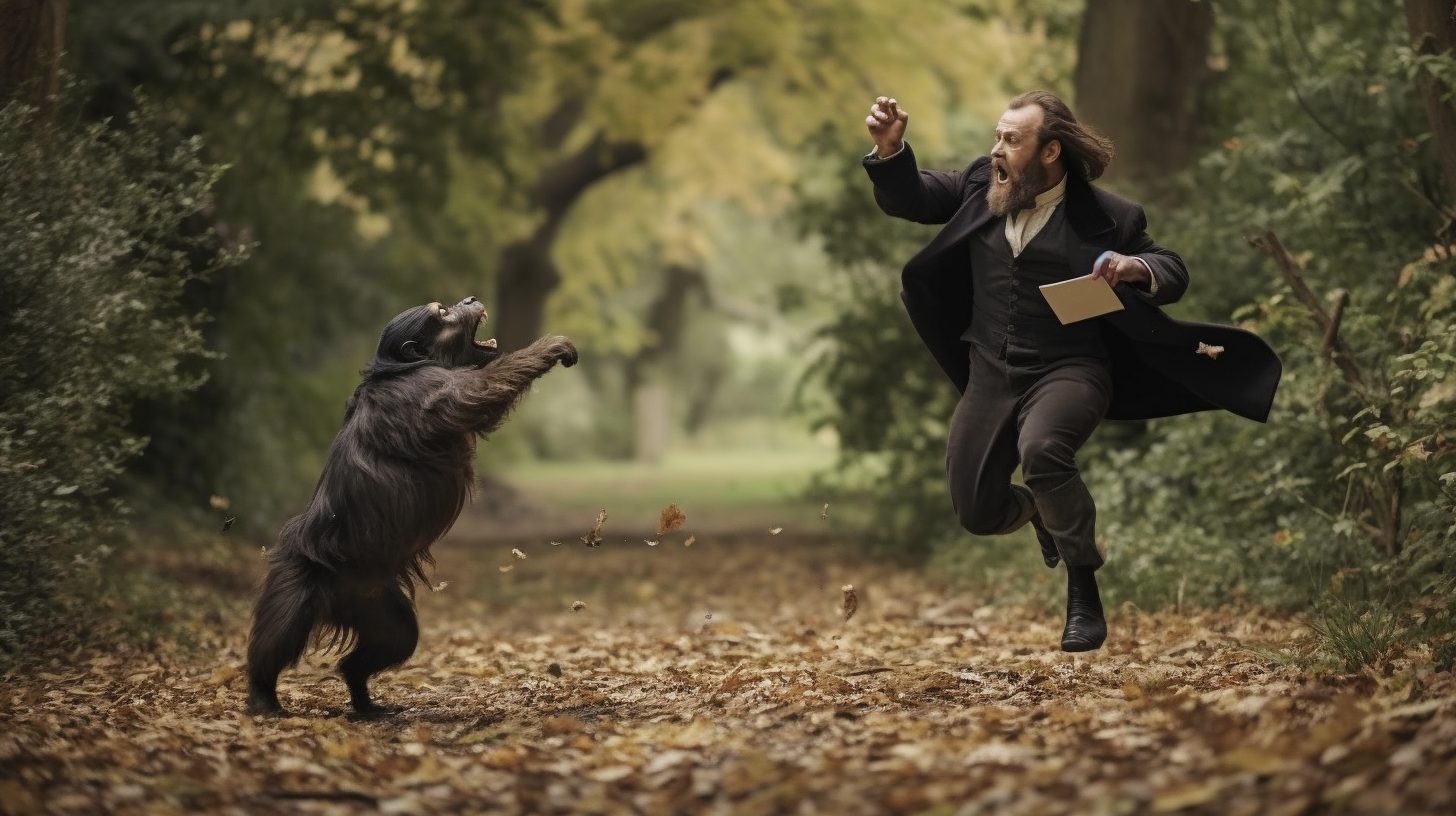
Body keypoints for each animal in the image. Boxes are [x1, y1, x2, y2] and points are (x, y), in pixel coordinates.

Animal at [245, 296, 577, 716]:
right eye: (442, 314)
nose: (468, 300)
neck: (404, 368)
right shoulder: (435, 389)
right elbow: (482, 388)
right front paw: (553, 345)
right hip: (293, 592)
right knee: (273, 642)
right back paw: (263, 697)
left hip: (382, 613)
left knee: (373, 652)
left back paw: (365, 702)